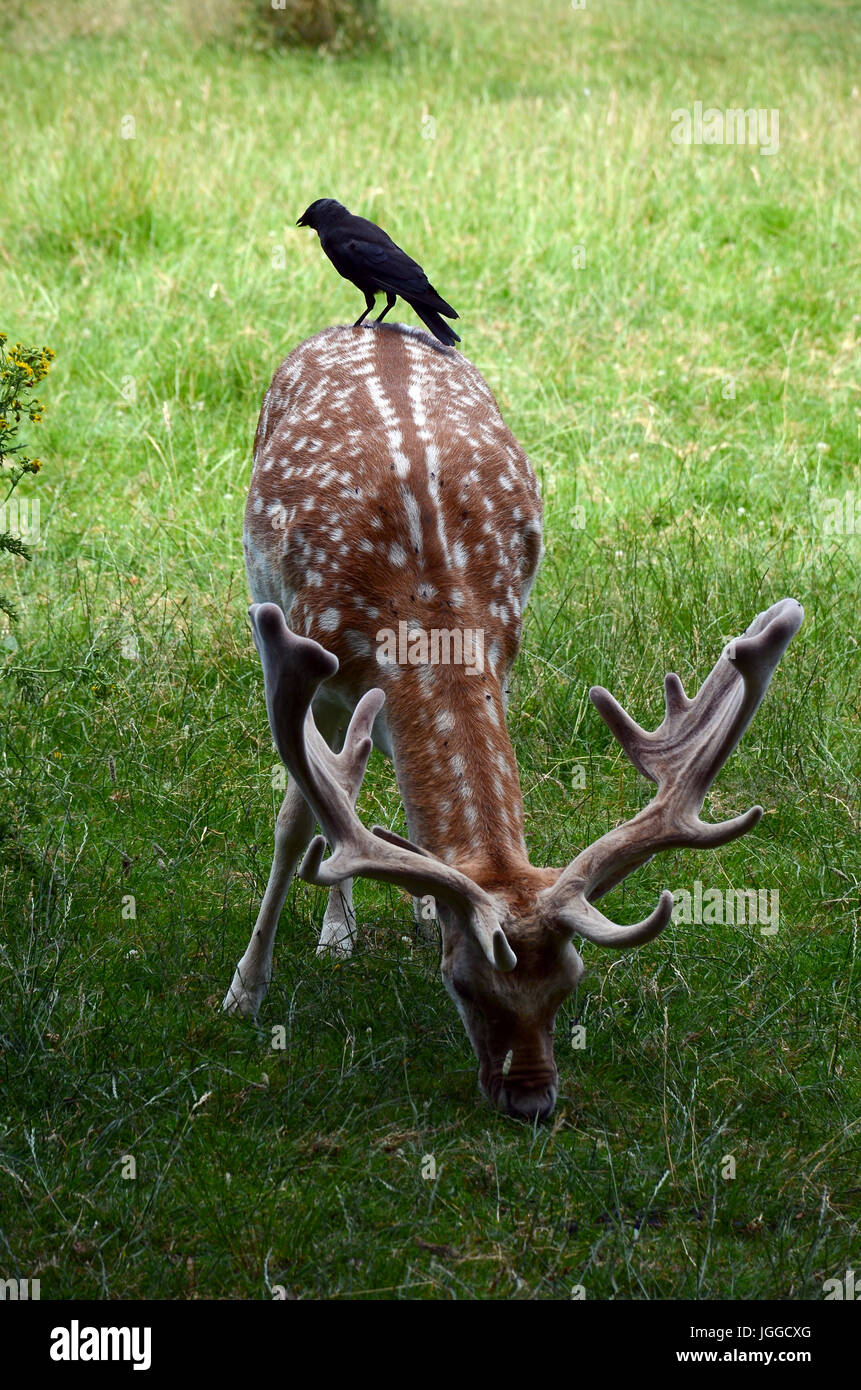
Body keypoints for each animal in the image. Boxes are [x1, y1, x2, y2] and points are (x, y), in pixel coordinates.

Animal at [223, 320, 803, 1122]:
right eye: (463, 984)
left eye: (570, 983)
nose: (532, 1100)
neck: (426, 604)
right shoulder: (313, 659)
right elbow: (296, 822)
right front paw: (247, 991)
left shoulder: (504, 646)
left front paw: (417, 898)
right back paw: (336, 931)